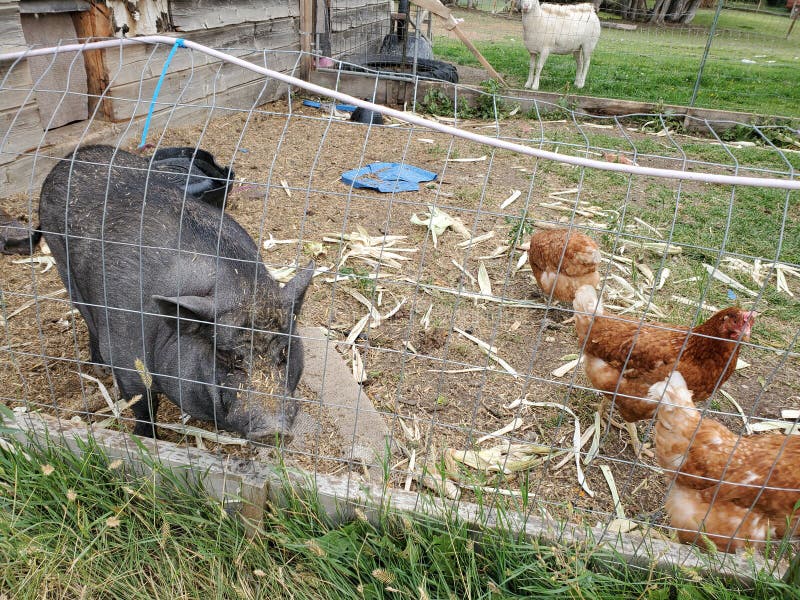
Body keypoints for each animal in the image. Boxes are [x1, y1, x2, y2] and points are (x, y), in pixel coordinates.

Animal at [38, 144, 313, 444]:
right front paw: (147, 440)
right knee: (87, 318)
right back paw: (100, 369)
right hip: (62, 262)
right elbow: (144, 406)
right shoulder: (127, 359)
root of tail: (70, 158)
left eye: (285, 352)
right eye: (226, 356)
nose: (273, 431)